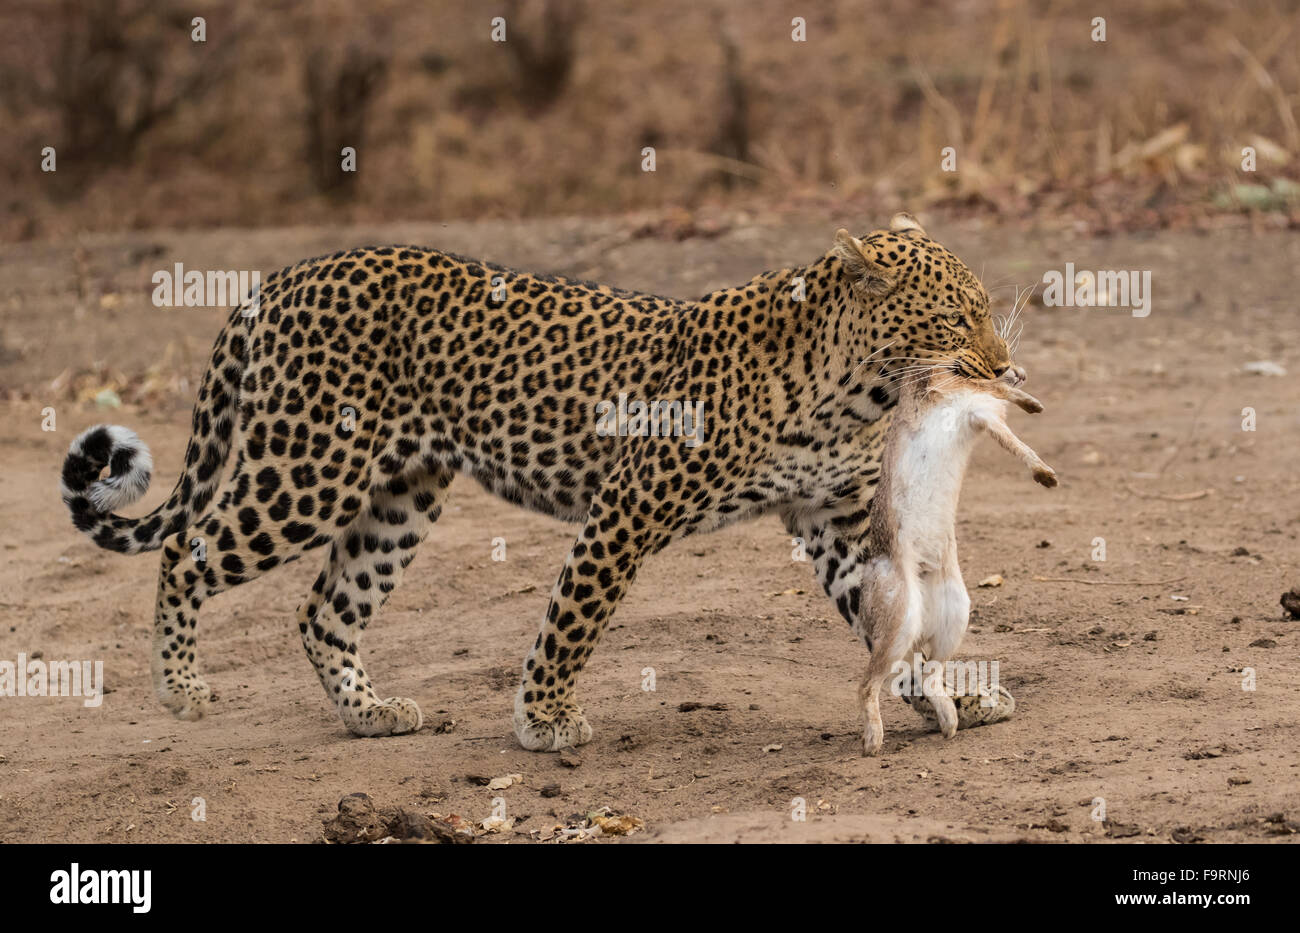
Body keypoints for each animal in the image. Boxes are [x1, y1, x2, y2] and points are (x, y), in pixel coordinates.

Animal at [60, 212, 1023, 752]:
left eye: (985, 309)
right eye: (957, 316)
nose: (1004, 366)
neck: (846, 386)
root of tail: (281, 279)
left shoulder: (834, 517)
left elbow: (891, 616)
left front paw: (955, 695)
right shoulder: (627, 508)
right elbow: (572, 620)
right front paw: (545, 720)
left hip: (400, 494)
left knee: (324, 608)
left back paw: (371, 713)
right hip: (305, 471)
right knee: (185, 551)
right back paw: (180, 688)